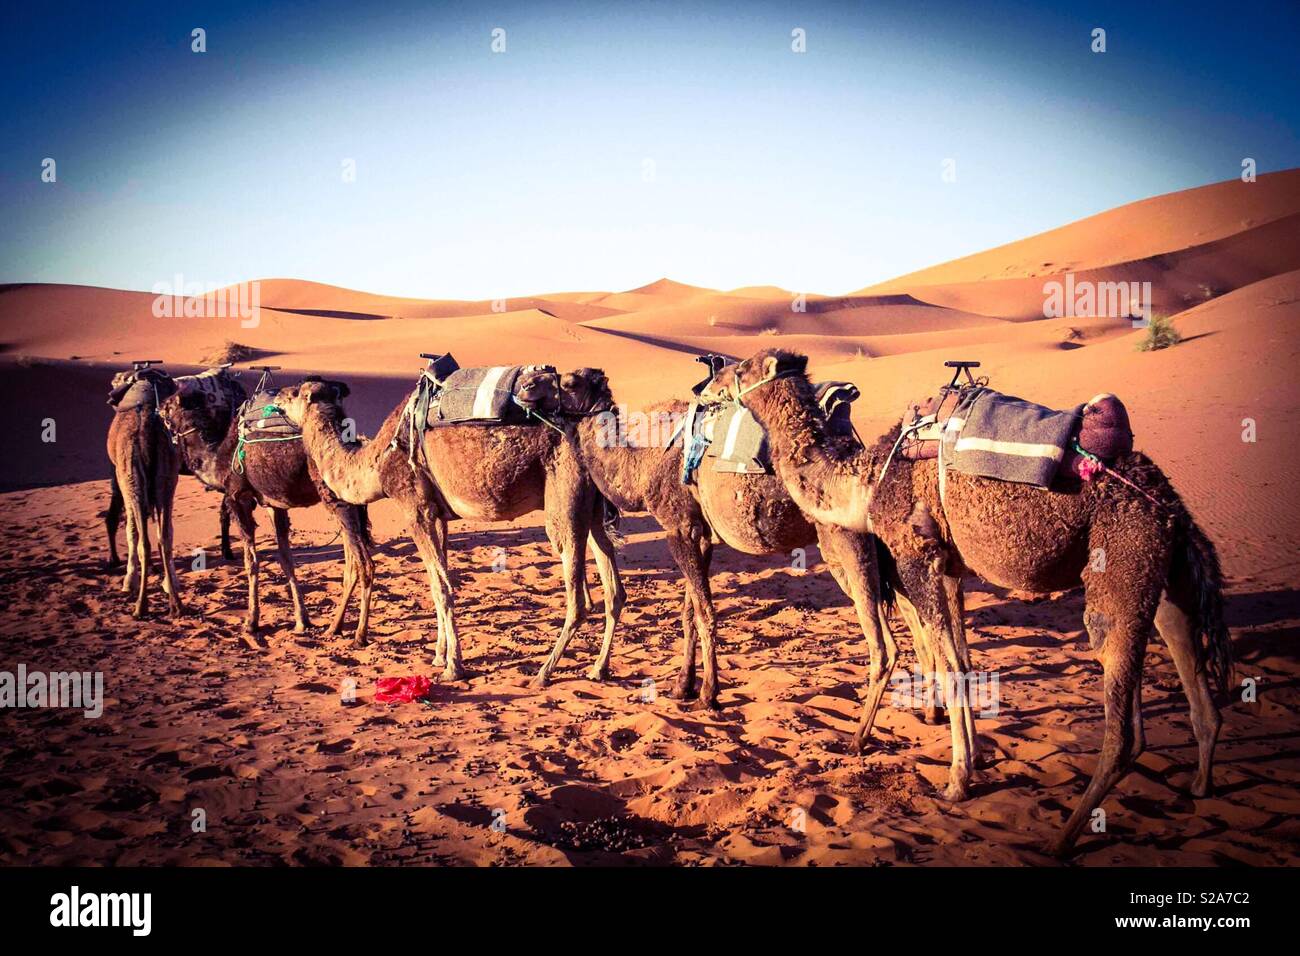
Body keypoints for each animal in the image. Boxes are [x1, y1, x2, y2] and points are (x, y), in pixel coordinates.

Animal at [105, 369, 185, 618]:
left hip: (131, 477)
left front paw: (128, 581)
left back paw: (141, 605)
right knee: (164, 538)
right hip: (166, 475)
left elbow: (131, 532)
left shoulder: (123, 479)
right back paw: (175, 604)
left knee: (144, 541)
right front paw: (170, 583)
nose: (111, 396)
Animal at [157, 371, 375, 640]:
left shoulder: (238, 497)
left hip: (337, 500)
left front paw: (251, 622)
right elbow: (286, 559)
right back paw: (335, 626)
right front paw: (302, 620)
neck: (217, 459)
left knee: (363, 563)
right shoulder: (274, 505)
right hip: (347, 504)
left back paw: (359, 634)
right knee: (352, 563)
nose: (158, 407)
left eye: (170, 404)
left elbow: (251, 561)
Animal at [274, 368, 624, 685]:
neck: (378, 459)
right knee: (614, 590)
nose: (276, 397)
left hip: (563, 501)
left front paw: (453, 667)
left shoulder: (415, 509)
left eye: (295, 393)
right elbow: (435, 583)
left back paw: (544, 672)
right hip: (593, 507)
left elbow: (442, 588)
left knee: (578, 599)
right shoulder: (438, 515)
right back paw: (598, 669)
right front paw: (439, 655)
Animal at [542, 367, 929, 720]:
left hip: (842, 540)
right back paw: (929, 713)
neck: (643, 462)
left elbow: (704, 613)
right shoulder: (700, 535)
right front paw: (682, 686)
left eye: (568, 382)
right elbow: (690, 612)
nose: (532, 390)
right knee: (915, 618)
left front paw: (708, 695)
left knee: (886, 636)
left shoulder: (679, 528)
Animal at [700, 348, 1231, 857]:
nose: (708, 384)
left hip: (1121, 560)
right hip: (1164, 576)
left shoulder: (916, 555)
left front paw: (957, 782)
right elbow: (962, 657)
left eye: (743, 369)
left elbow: (951, 666)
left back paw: (1062, 839)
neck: (868, 481)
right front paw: (972, 760)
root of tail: (1172, 506)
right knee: (1187, 663)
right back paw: (1200, 787)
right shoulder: (950, 565)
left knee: (1122, 715)